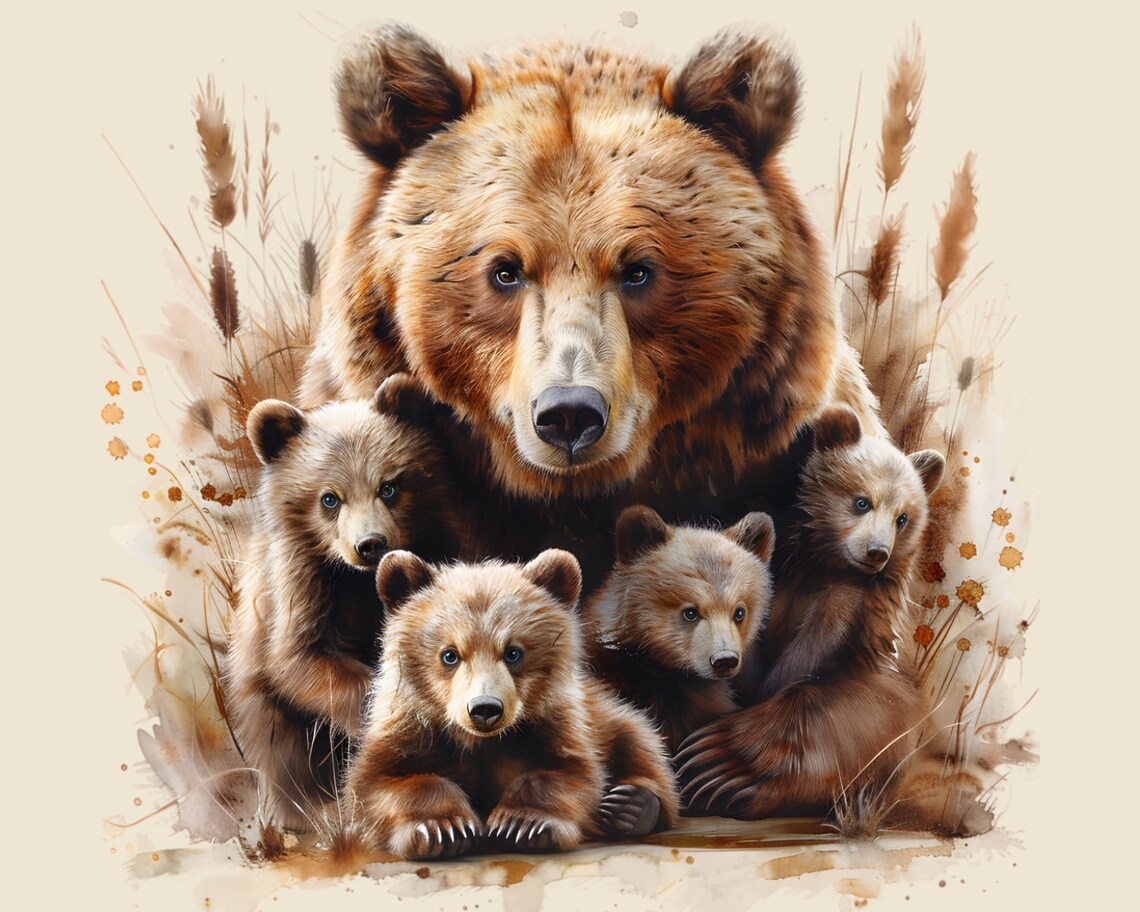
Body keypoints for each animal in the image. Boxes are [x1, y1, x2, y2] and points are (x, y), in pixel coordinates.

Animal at [223, 374, 463, 831]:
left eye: (389, 487)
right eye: (329, 498)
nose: (370, 545)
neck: (359, 582)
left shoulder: (438, 548)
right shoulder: (298, 584)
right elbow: (300, 660)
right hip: (270, 714)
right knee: (287, 759)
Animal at [343, 549, 679, 860]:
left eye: (513, 653)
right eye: (449, 654)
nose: (484, 708)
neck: (481, 742)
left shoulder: (559, 725)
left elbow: (570, 773)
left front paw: (521, 824)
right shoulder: (408, 730)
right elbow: (382, 782)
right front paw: (444, 829)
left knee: (637, 738)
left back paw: (631, 805)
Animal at [676, 406, 945, 822]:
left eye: (903, 518)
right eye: (862, 502)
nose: (877, 552)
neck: (820, 565)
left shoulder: (850, 610)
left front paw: (720, 761)